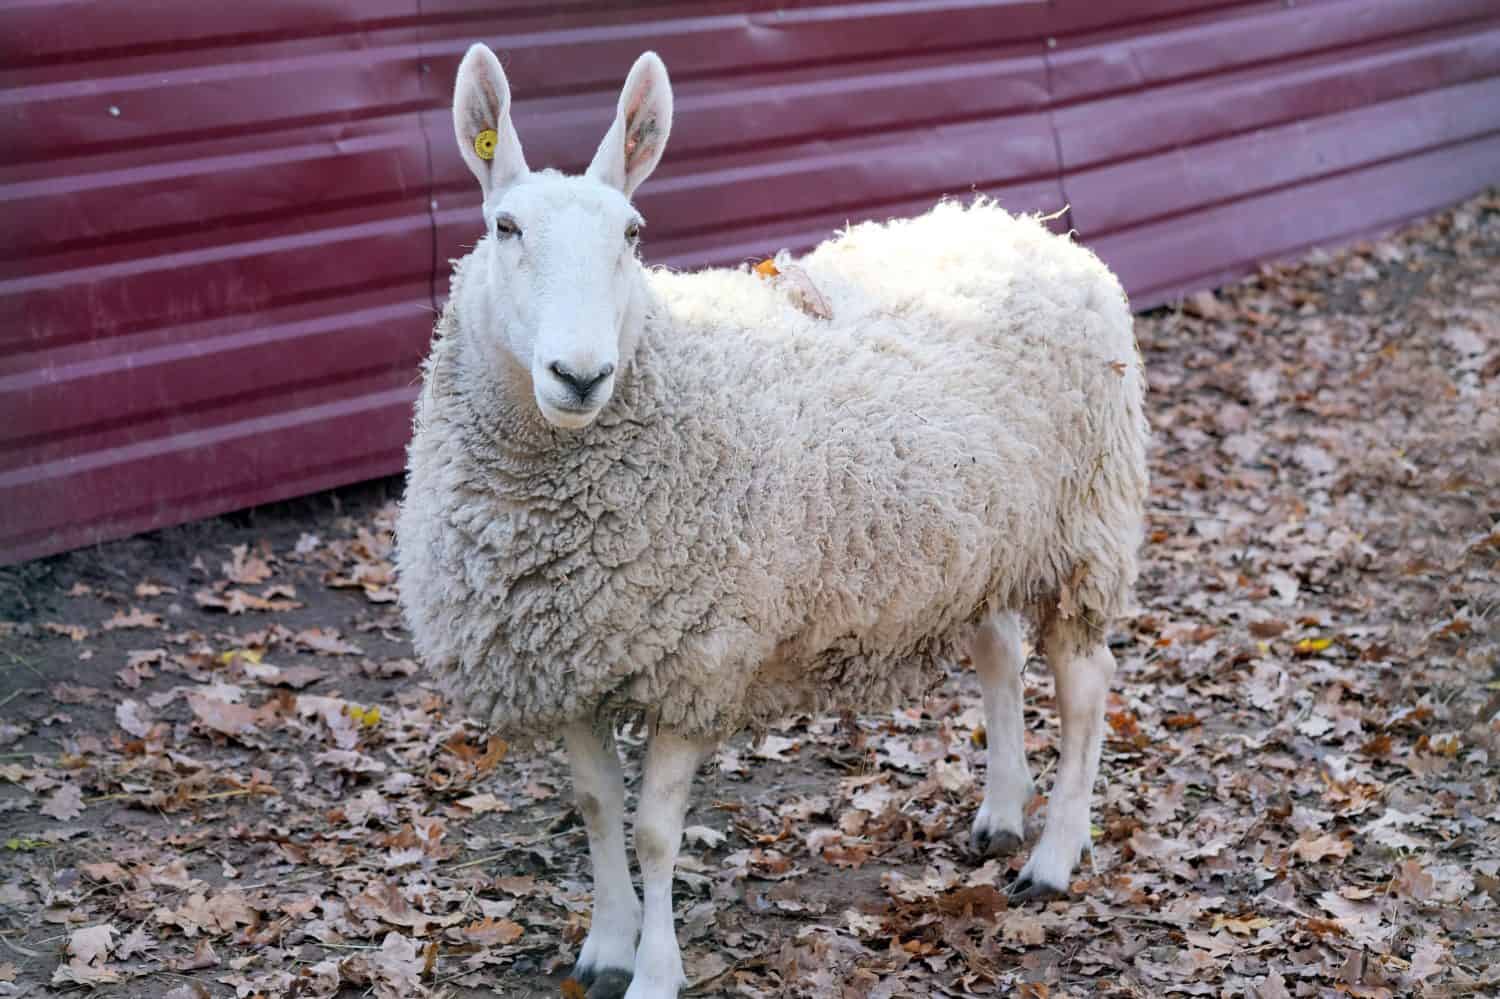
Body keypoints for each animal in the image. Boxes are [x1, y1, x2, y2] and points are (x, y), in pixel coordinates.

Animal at [395, 43, 1149, 999]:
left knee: (1086, 685)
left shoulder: (701, 659)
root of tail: (1029, 228)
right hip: (978, 534)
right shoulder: (565, 656)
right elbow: (597, 807)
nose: (581, 373)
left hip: (1083, 523)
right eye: (504, 227)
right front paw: (606, 945)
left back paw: (1053, 855)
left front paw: (654, 970)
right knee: (998, 655)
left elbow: (654, 831)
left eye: (633, 235)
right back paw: (1002, 812)